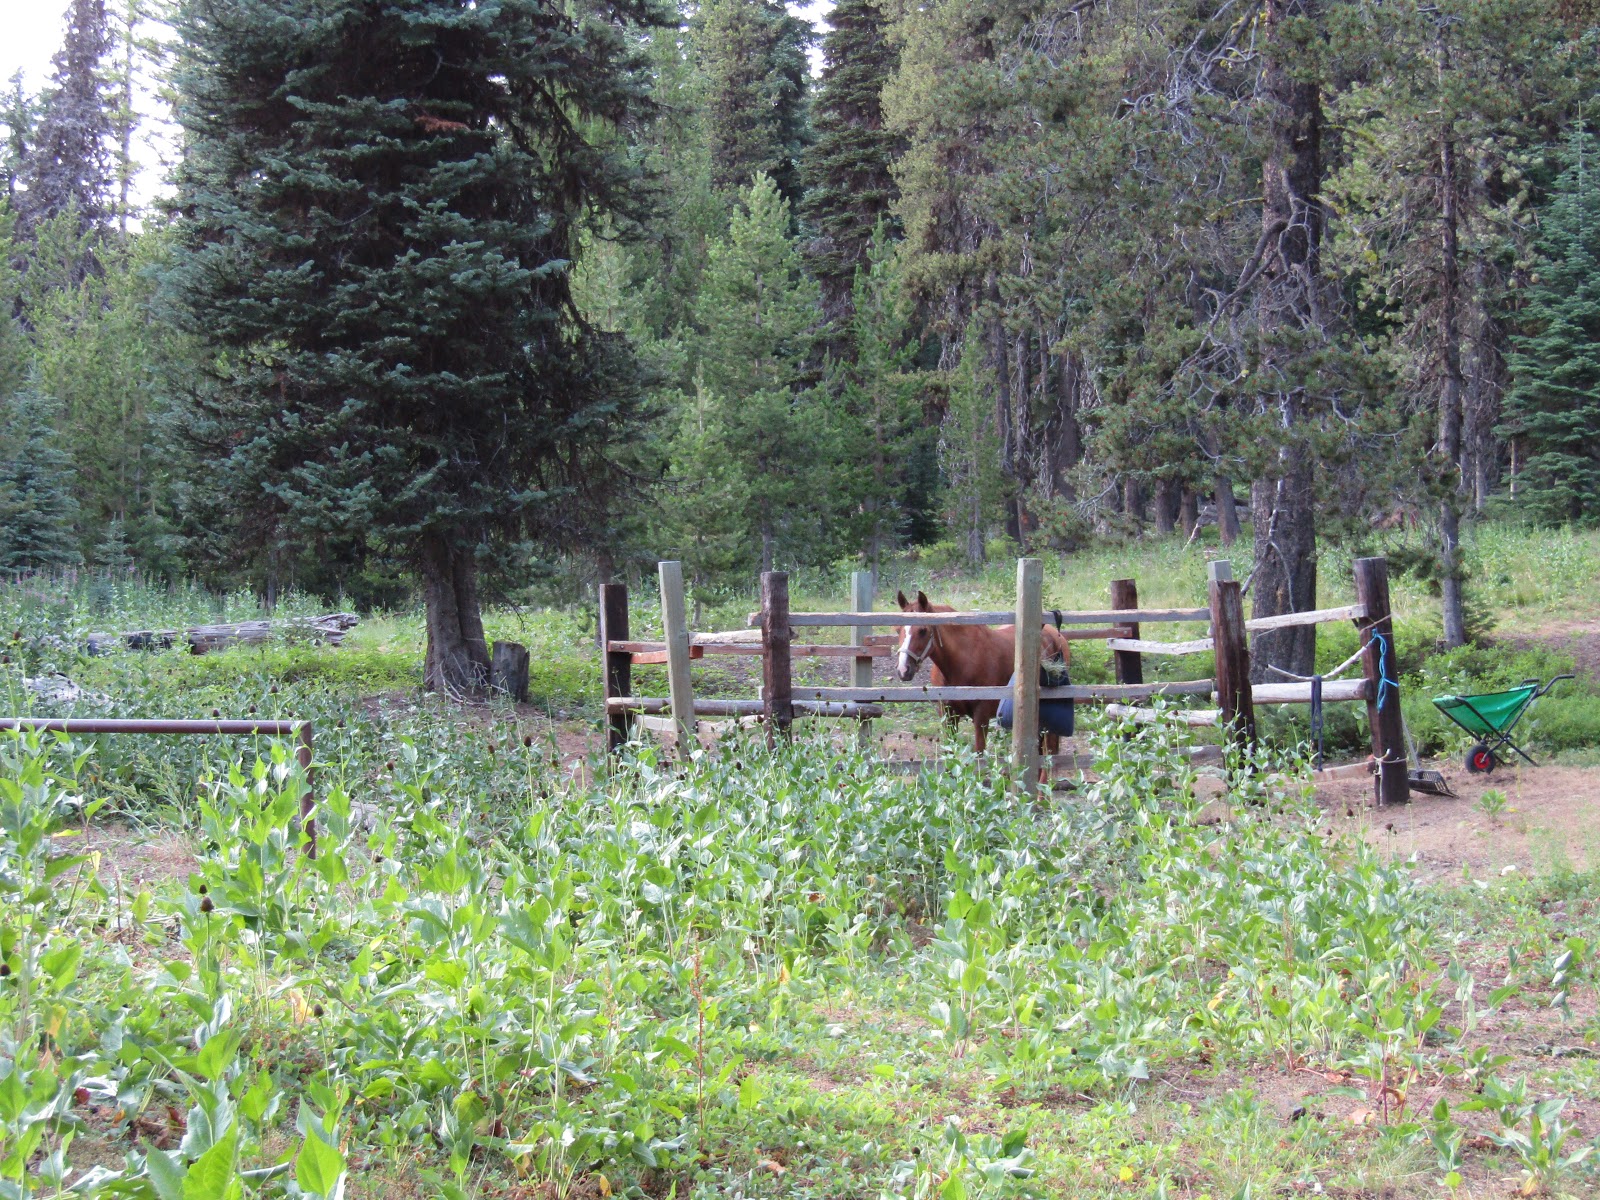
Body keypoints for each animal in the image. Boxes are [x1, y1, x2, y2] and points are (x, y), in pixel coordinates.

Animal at [894, 590, 1070, 755]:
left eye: (923, 630)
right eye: (897, 629)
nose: (903, 670)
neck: (962, 663)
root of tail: (1055, 635)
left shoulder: (981, 718)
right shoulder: (948, 716)